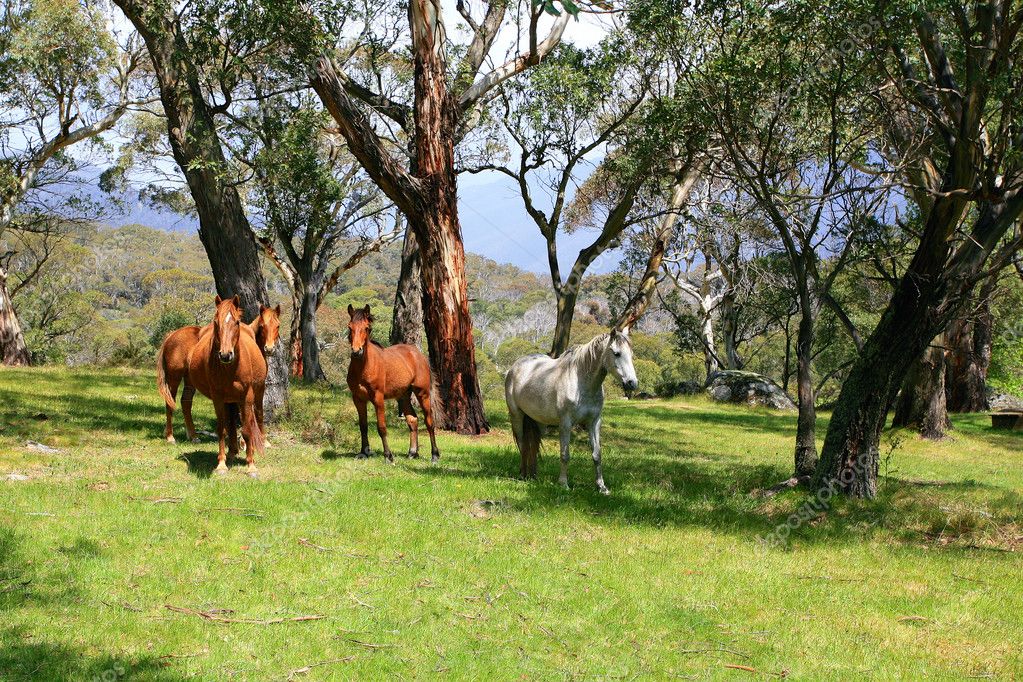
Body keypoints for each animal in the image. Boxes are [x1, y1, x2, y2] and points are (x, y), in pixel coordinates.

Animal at [156, 304, 280, 444]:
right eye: (262, 326)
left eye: (278, 326)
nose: (269, 348)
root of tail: (171, 335)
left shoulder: (257, 387)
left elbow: (257, 412)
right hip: (174, 378)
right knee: (170, 402)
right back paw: (170, 436)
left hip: (189, 380)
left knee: (186, 402)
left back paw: (193, 436)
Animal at [187, 295, 268, 476]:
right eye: (216, 322)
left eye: (236, 322)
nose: (225, 355)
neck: (231, 368)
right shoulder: (218, 397)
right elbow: (221, 429)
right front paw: (222, 464)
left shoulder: (246, 397)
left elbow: (246, 430)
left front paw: (251, 465)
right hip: (229, 400)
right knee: (230, 423)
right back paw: (231, 452)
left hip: (256, 395)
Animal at [346, 304, 439, 463]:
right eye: (349, 327)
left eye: (367, 328)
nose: (356, 351)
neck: (364, 368)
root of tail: (418, 354)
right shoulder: (358, 399)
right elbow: (363, 426)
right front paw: (364, 452)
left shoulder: (378, 398)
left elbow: (381, 427)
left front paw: (388, 456)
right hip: (403, 396)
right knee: (412, 420)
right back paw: (412, 452)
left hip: (423, 393)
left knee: (429, 422)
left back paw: (435, 455)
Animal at [504, 328, 638, 494]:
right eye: (617, 353)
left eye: (631, 354)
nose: (632, 383)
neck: (581, 382)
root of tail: (514, 368)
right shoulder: (566, 424)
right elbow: (565, 455)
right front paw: (563, 484)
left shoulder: (594, 423)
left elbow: (597, 454)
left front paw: (601, 487)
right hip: (517, 415)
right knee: (522, 445)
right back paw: (523, 475)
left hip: (538, 421)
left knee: (533, 447)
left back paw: (533, 476)